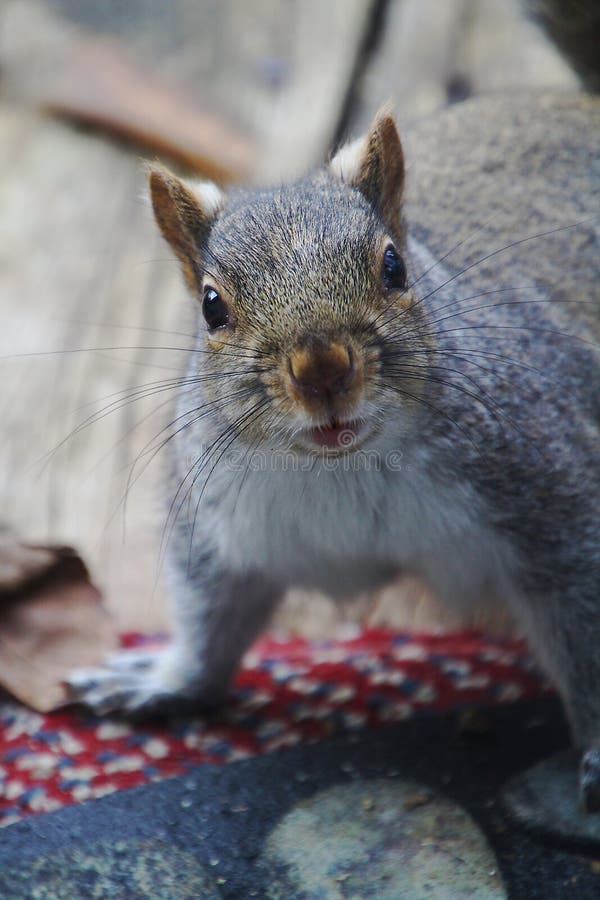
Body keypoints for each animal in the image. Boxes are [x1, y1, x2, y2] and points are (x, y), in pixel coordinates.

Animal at [67, 37, 600, 805]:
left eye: (394, 266)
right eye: (211, 307)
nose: (321, 368)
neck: (345, 467)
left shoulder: (551, 493)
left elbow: (582, 628)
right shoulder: (223, 530)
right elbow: (211, 617)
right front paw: (167, 679)